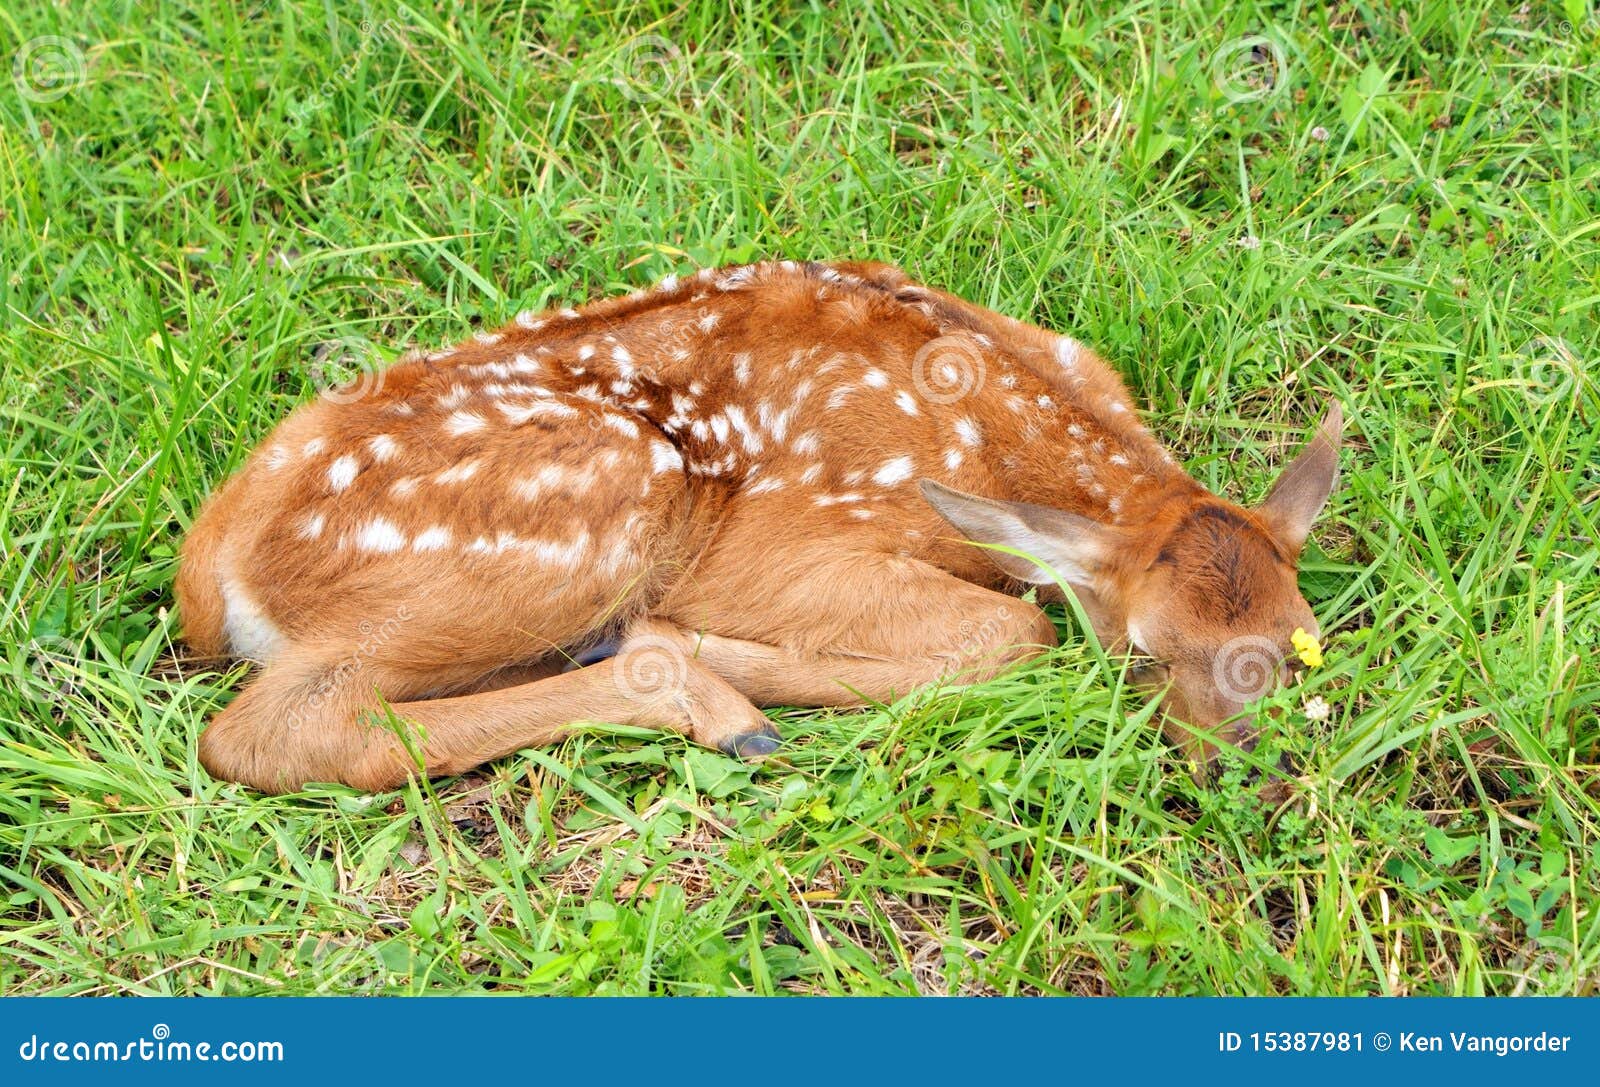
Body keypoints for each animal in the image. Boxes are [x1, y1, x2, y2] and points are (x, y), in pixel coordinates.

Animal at [176, 259, 1340, 797]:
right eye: (1145, 654)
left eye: (1297, 646)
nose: (1247, 772)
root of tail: (214, 555)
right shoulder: (789, 541)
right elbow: (1019, 630)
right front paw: (698, 650)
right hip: (599, 502)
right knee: (268, 732)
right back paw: (712, 702)